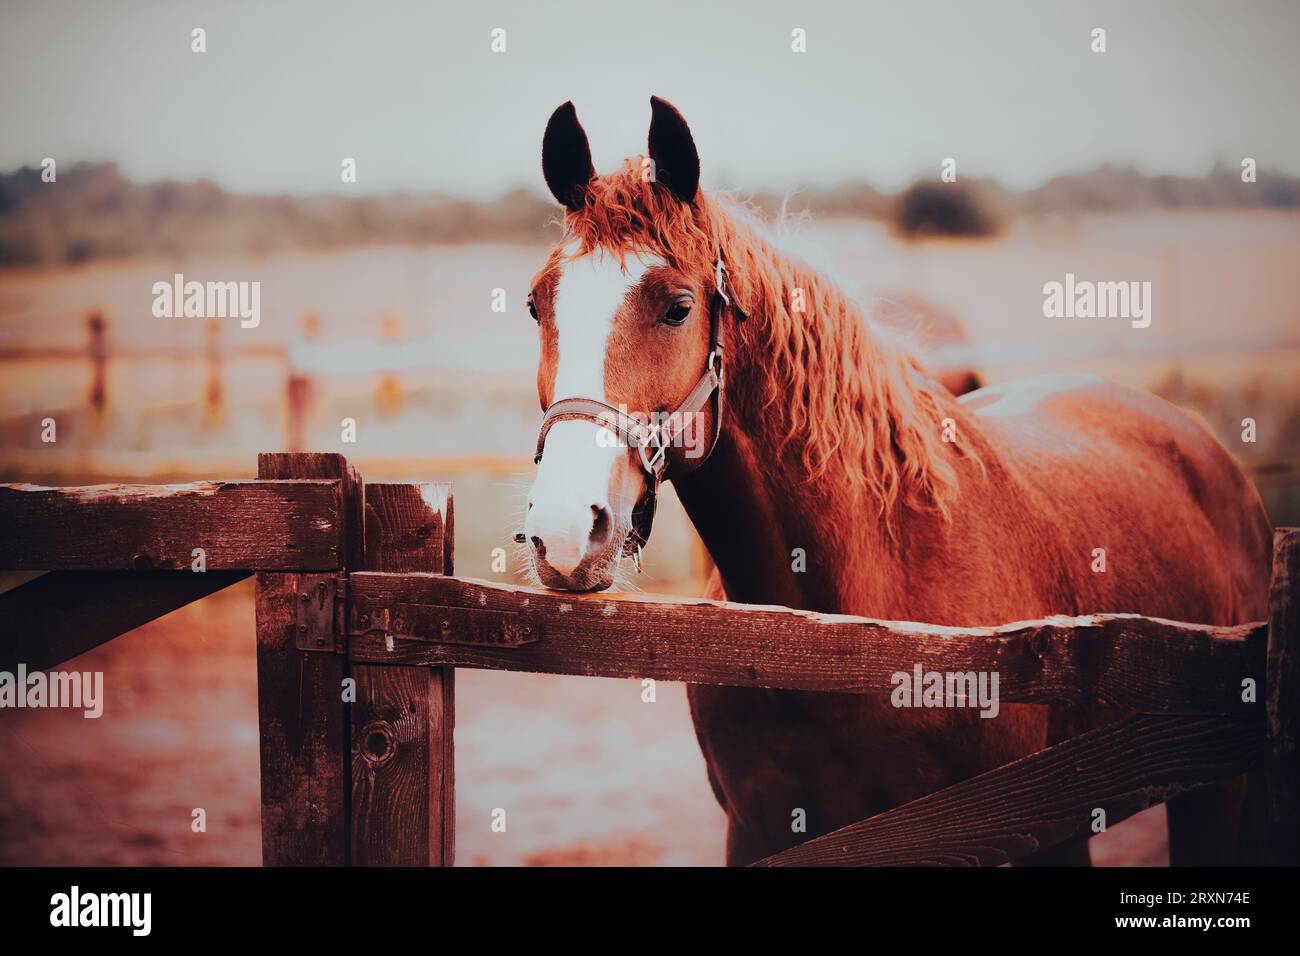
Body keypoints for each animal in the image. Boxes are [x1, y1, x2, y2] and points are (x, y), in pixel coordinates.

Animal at [520, 96, 1273, 866]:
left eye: (676, 306)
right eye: (535, 305)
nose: (564, 532)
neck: (842, 639)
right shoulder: (758, 833)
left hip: (1210, 794)